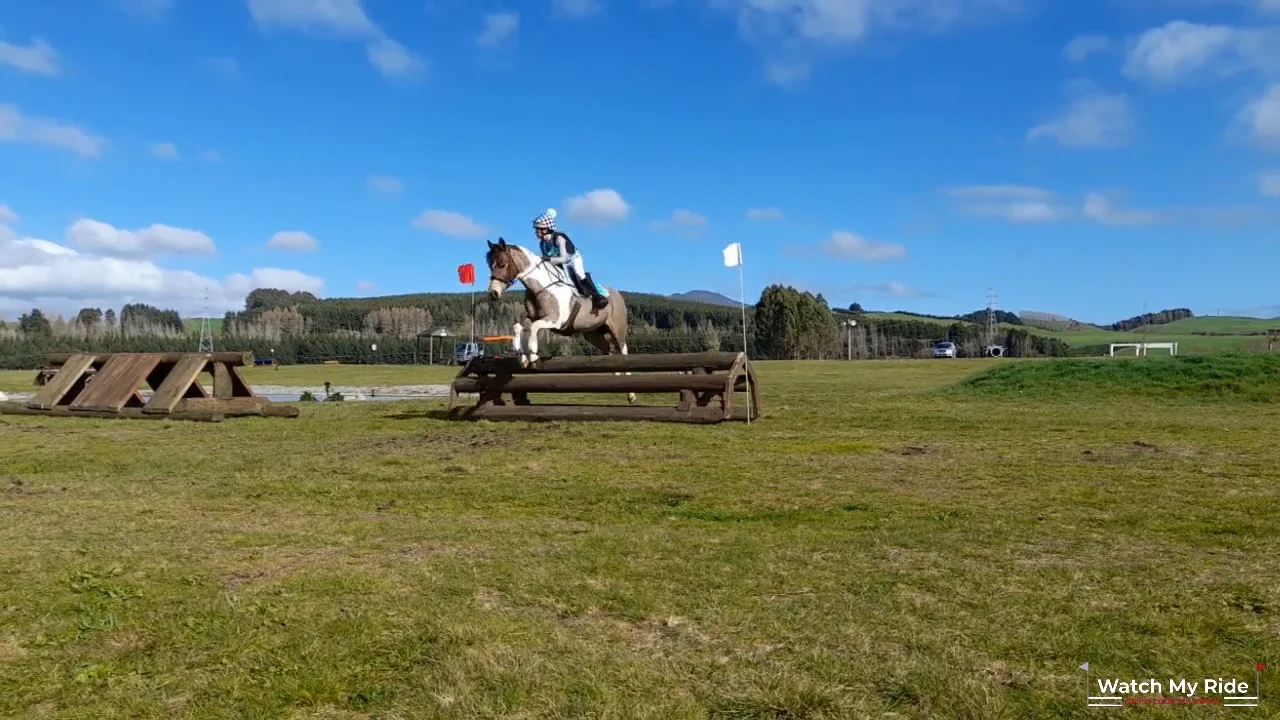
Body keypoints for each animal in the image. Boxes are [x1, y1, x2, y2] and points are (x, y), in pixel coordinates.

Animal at [484, 237, 637, 404]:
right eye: (489, 265)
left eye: (502, 264)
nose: (493, 293)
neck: (542, 286)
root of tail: (617, 294)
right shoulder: (532, 317)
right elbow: (519, 326)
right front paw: (522, 355)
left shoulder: (556, 320)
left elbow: (534, 327)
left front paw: (533, 354)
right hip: (593, 334)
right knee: (609, 351)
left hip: (617, 327)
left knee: (623, 351)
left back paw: (631, 394)